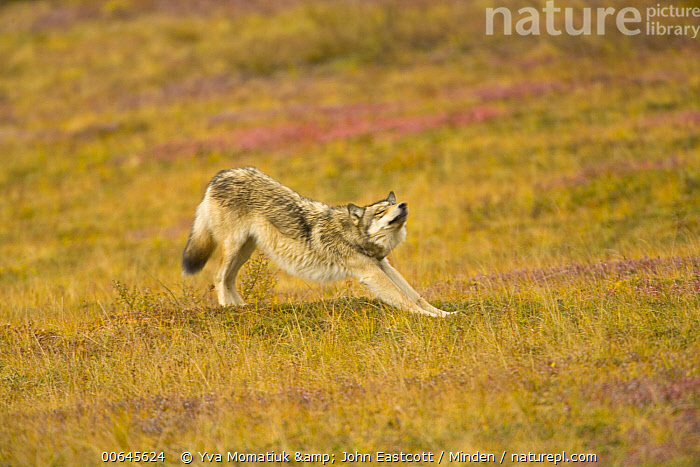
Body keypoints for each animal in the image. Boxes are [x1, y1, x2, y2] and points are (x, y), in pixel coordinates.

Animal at [182, 167, 452, 317]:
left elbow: (415, 295)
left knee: (228, 278)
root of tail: (219, 176)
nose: (403, 205)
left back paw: (240, 308)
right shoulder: (371, 273)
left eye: (392, 205)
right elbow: (404, 299)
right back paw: (228, 309)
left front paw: (444, 313)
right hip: (235, 246)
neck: (351, 235)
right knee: (218, 277)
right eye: (380, 212)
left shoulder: (383, 266)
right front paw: (429, 317)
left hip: (245, 251)